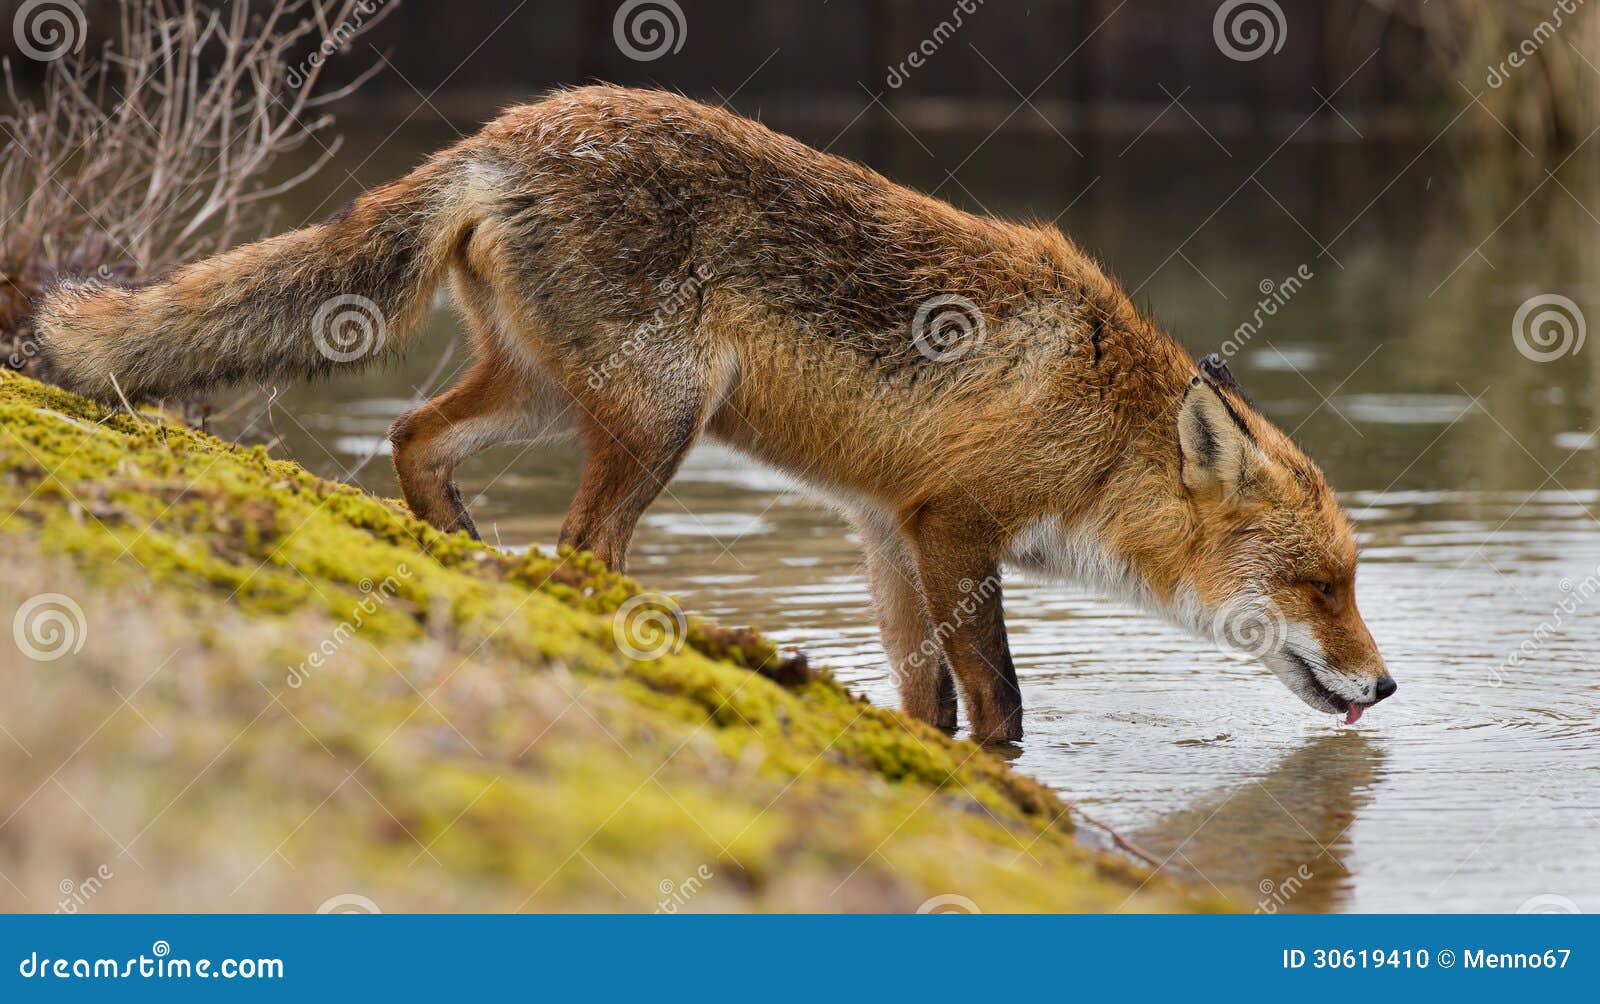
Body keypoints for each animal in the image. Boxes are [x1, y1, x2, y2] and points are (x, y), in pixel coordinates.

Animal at [30, 85, 1396, 743]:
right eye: (1319, 585)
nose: (1383, 688)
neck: (1101, 421)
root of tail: (499, 134)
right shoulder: (954, 526)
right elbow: (999, 699)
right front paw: (1014, 780)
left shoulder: (885, 528)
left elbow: (927, 701)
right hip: (656, 419)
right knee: (582, 541)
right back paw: (610, 621)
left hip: (540, 397)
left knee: (412, 433)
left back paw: (463, 555)